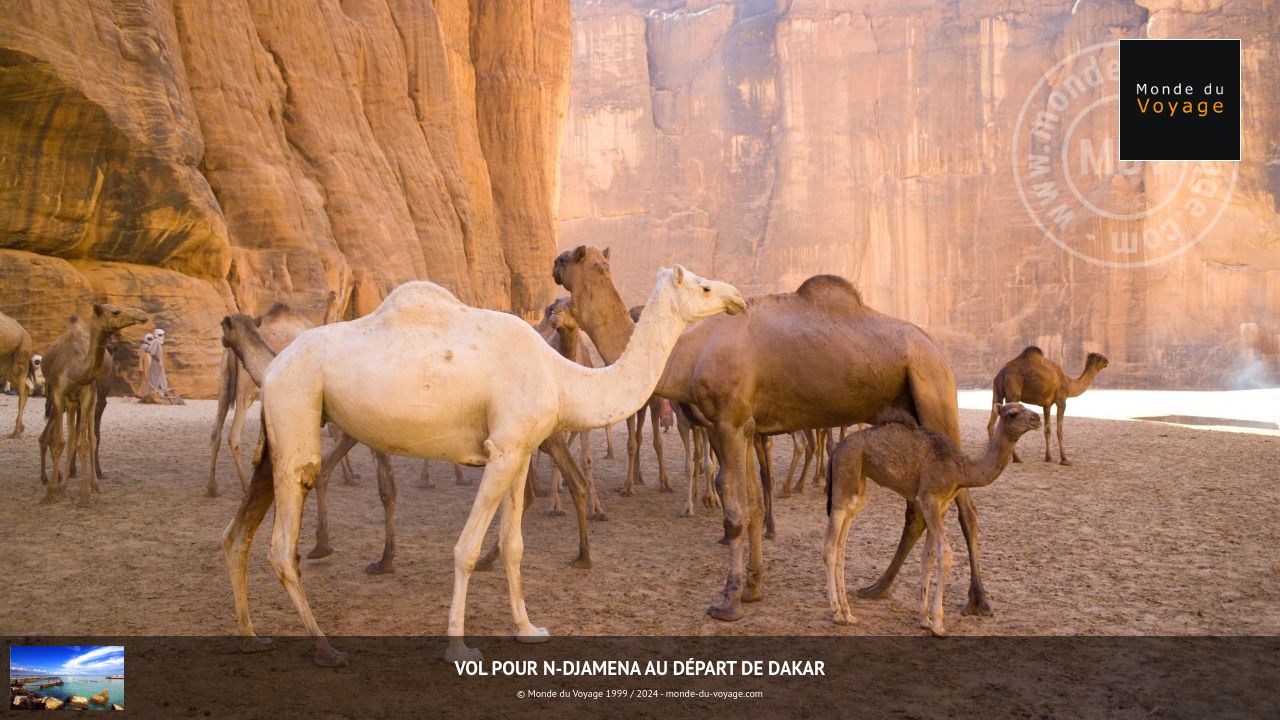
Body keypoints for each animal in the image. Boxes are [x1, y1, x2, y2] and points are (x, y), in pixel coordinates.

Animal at [0, 310, 34, 438]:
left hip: (21, 361)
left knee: (23, 394)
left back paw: (15, 433)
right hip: (6, 368)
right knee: (26, 389)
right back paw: (20, 429)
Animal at [39, 303, 146, 504]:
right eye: (115, 312)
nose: (142, 314)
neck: (74, 368)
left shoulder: (88, 394)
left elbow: (85, 443)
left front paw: (84, 496)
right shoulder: (58, 394)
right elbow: (59, 442)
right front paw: (51, 493)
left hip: (85, 402)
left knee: (88, 438)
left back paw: (90, 485)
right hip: (69, 403)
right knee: (68, 438)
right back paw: (61, 486)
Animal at [225, 266, 747, 666]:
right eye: (703, 287)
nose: (739, 298)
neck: (561, 376)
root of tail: (273, 367)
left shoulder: (518, 451)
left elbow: (513, 546)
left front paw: (527, 627)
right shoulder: (503, 451)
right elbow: (467, 548)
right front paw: (458, 646)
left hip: (278, 433)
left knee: (235, 536)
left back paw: (251, 638)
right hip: (296, 412)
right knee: (280, 544)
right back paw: (325, 648)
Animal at [555, 243, 983, 620]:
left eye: (576, 257)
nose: (555, 264)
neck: (688, 353)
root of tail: (938, 350)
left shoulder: (727, 422)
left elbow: (735, 512)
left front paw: (727, 602)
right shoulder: (744, 427)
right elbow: (755, 507)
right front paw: (753, 588)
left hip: (934, 395)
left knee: (965, 504)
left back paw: (977, 601)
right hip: (909, 414)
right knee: (916, 509)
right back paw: (878, 587)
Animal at [819, 404, 1039, 632]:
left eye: (1024, 406)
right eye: (1012, 413)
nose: (1037, 418)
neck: (961, 469)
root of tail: (836, 451)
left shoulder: (942, 506)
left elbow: (929, 556)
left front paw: (925, 619)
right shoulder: (928, 498)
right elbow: (946, 553)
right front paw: (938, 623)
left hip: (857, 485)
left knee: (842, 544)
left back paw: (849, 613)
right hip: (845, 475)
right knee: (830, 545)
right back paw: (837, 613)